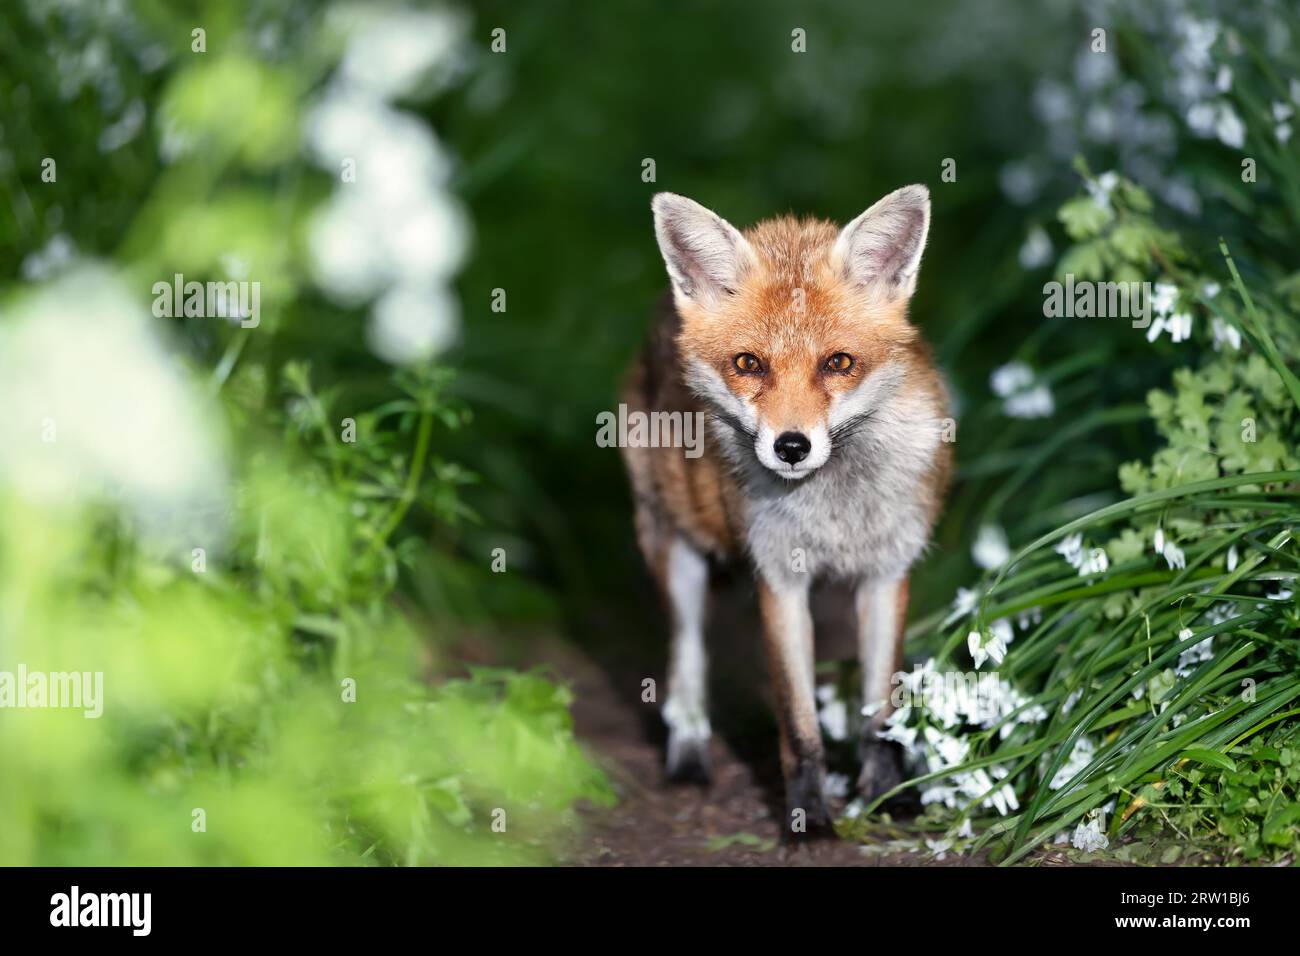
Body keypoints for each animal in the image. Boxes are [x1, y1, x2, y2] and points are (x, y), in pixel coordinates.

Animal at [620, 185, 952, 838]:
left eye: (839, 363)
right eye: (749, 364)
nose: (791, 447)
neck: (836, 509)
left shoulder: (887, 574)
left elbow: (881, 714)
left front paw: (888, 797)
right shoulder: (780, 579)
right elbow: (799, 726)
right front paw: (808, 819)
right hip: (677, 554)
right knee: (687, 662)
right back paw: (689, 755)